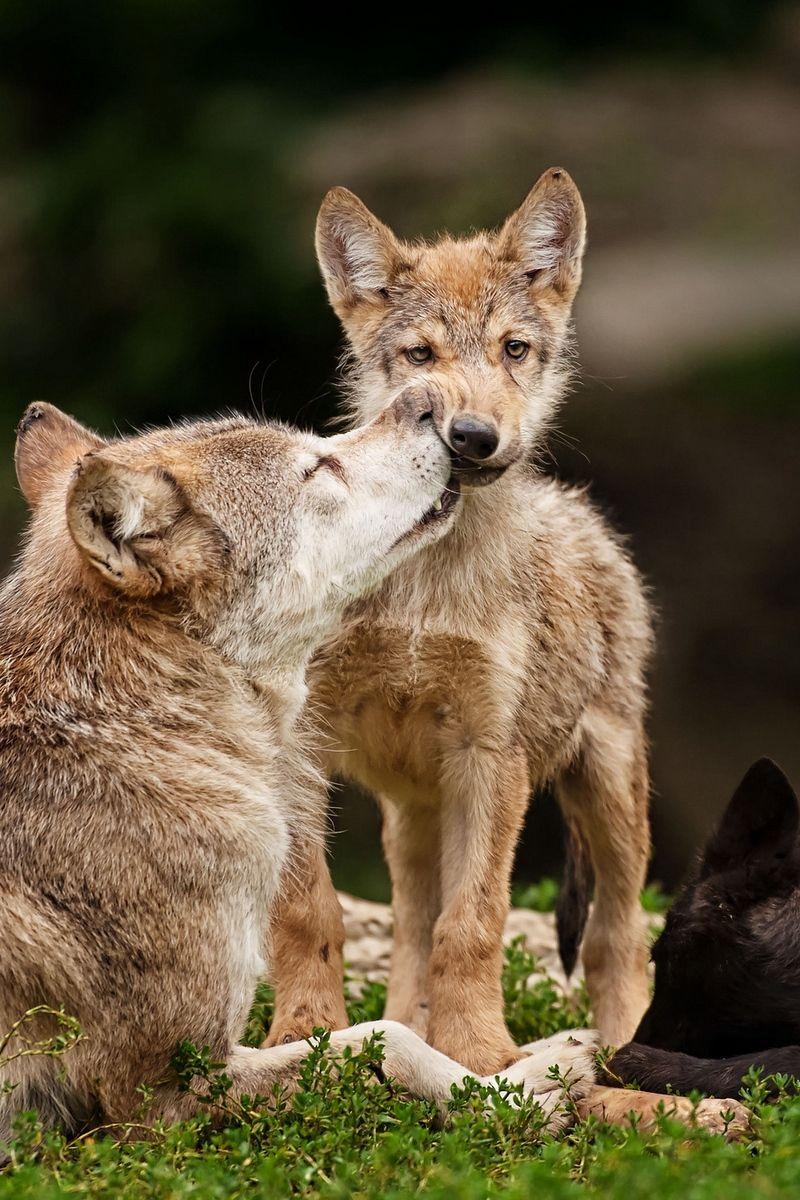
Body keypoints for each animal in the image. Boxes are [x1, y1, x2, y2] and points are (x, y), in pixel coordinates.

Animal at [0, 395, 597, 1143]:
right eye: (320, 467)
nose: (423, 404)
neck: (129, 722)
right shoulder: (155, 1093)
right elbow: (387, 1041)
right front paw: (535, 1087)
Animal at [266, 168, 654, 1073]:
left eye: (513, 350)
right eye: (422, 357)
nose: (471, 435)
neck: (422, 582)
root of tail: (584, 518)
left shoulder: (490, 753)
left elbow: (473, 925)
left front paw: (480, 1056)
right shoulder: (302, 745)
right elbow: (311, 911)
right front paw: (302, 1032)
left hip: (608, 792)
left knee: (619, 940)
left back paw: (624, 1053)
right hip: (414, 812)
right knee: (411, 926)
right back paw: (402, 1034)